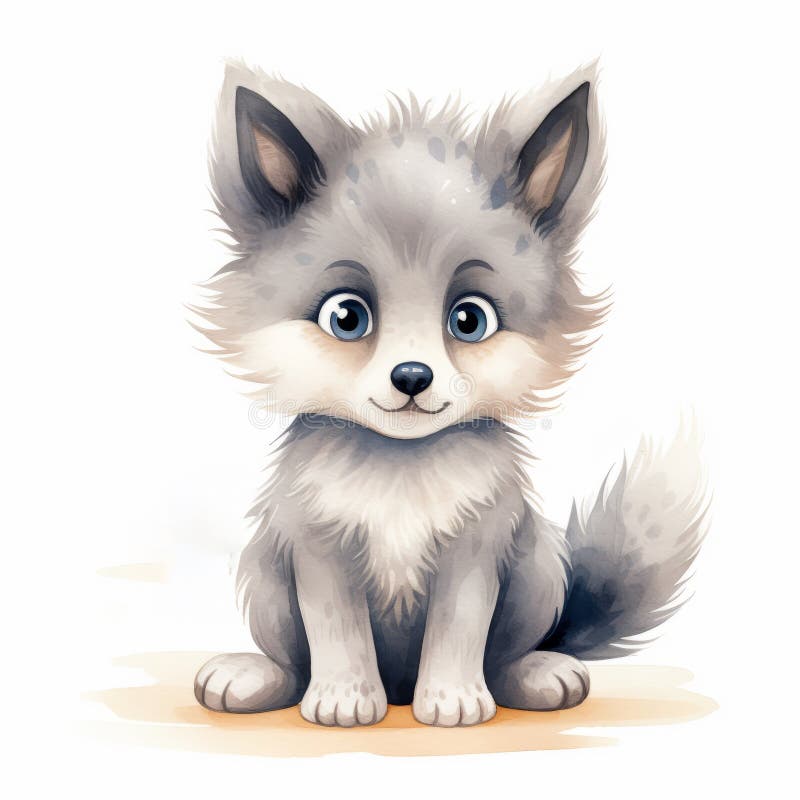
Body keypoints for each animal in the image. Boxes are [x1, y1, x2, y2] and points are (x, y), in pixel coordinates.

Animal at [191, 61, 709, 727]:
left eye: (469, 320)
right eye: (345, 317)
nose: (412, 377)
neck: (399, 470)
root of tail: (399, 685)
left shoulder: (478, 548)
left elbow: (460, 629)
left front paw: (453, 700)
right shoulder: (317, 547)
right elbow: (336, 630)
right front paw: (344, 698)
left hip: (536, 568)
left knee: (507, 654)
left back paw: (536, 673)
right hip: (266, 579)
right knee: (292, 660)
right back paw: (254, 676)